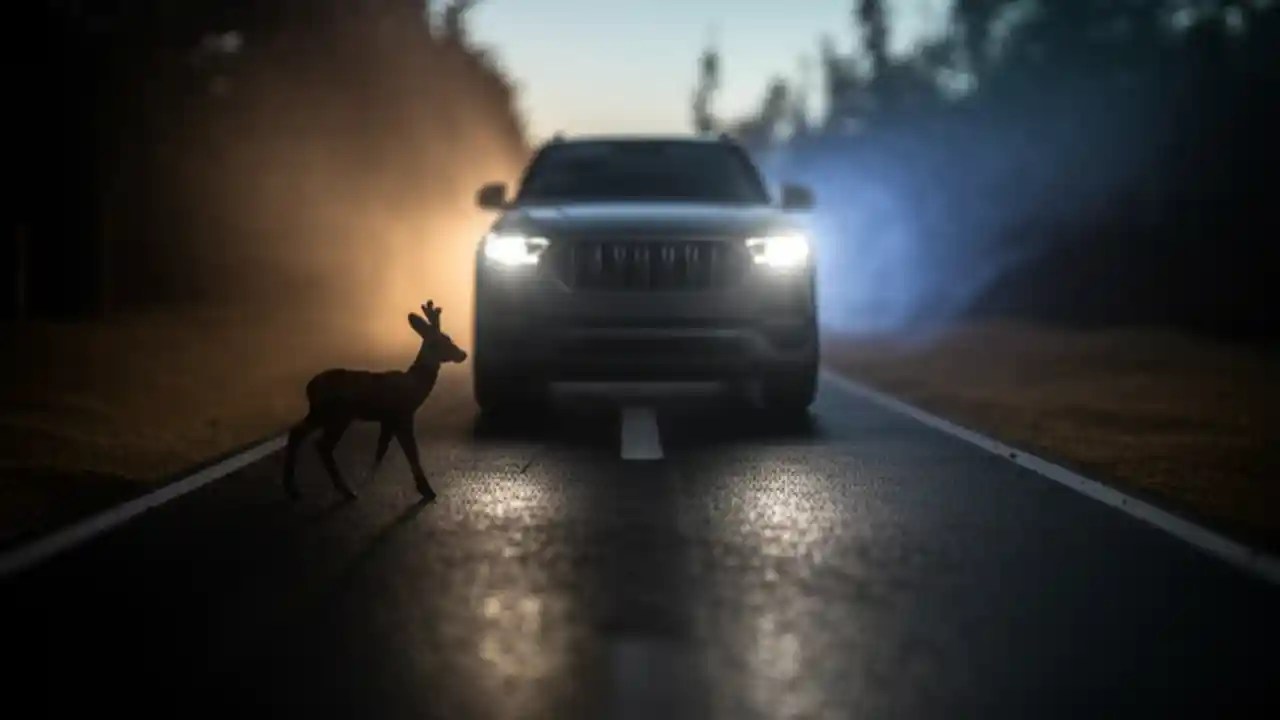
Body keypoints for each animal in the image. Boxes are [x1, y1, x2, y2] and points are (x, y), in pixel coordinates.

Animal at [282, 301, 467, 501]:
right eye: (445, 340)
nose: (463, 354)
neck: (413, 386)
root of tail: (309, 387)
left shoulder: (388, 420)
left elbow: (382, 448)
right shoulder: (402, 415)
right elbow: (411, 452)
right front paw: (427, 490)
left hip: (320, 413)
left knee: (297, 433)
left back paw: (293, 488)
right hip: (337, 415)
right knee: (322, 445)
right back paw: (346, 491)